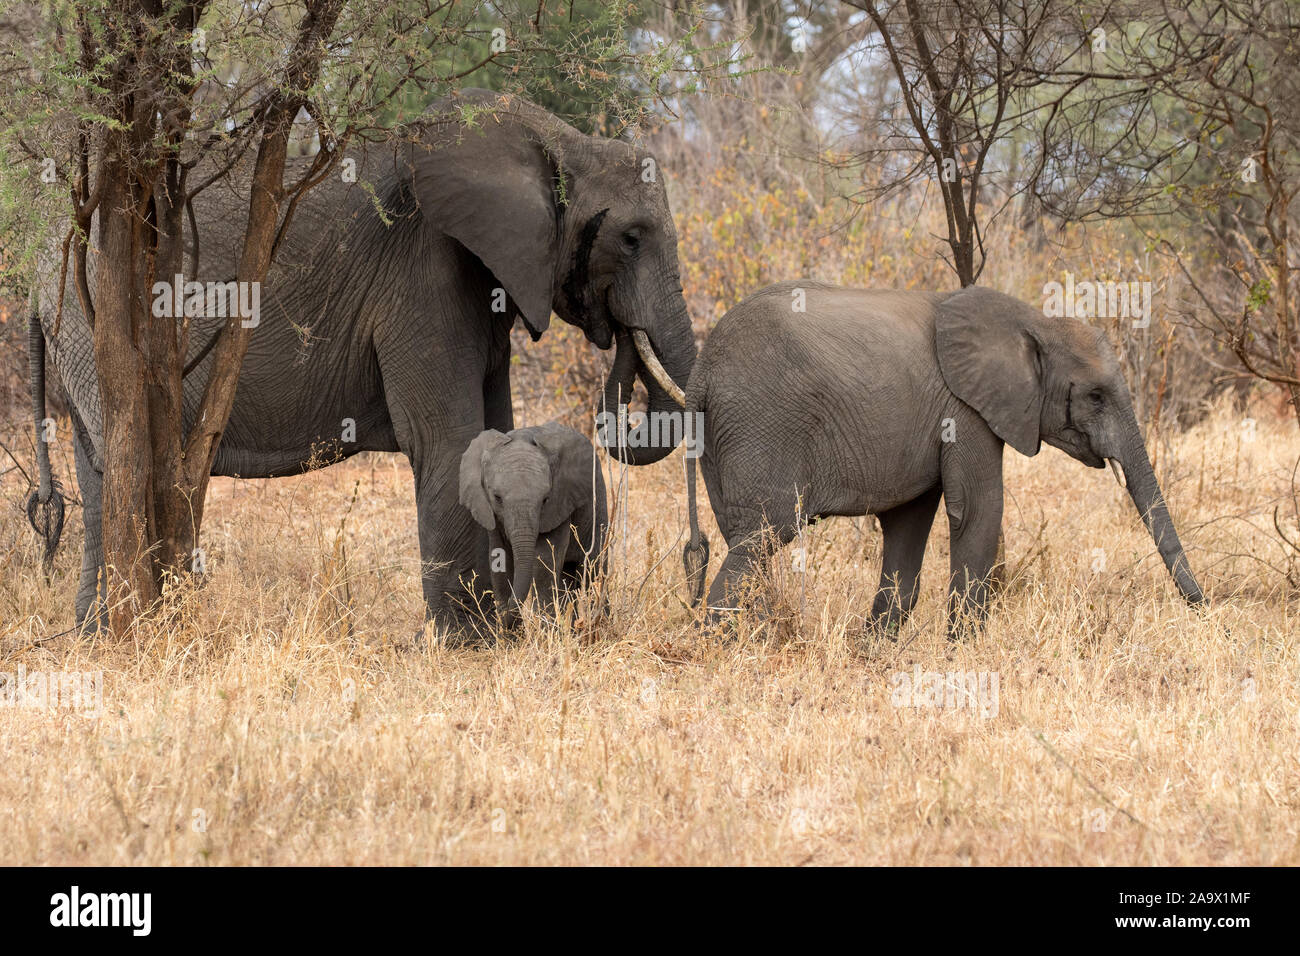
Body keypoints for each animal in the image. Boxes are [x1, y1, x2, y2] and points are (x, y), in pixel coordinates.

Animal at [458, 422, 607, 627]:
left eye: (545, 499)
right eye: (497, 498)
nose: (511, 621)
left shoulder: (559, 503)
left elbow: (544, 559)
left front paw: (545, 628)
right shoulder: (492, 514)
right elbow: (500, 558)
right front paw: (509, 631)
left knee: (594, 568)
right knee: (568, 575)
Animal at [681, 281, 1205, 636]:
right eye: (1095, 397)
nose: (1205, 610)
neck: (1033, 321)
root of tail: (701, 373)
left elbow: (909, 520)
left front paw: (875, 649)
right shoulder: (965, 410)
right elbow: (979, 509)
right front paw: (965, 651)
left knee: (745, 539)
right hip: (761, 422)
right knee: (764, 535)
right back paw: (723, 649)